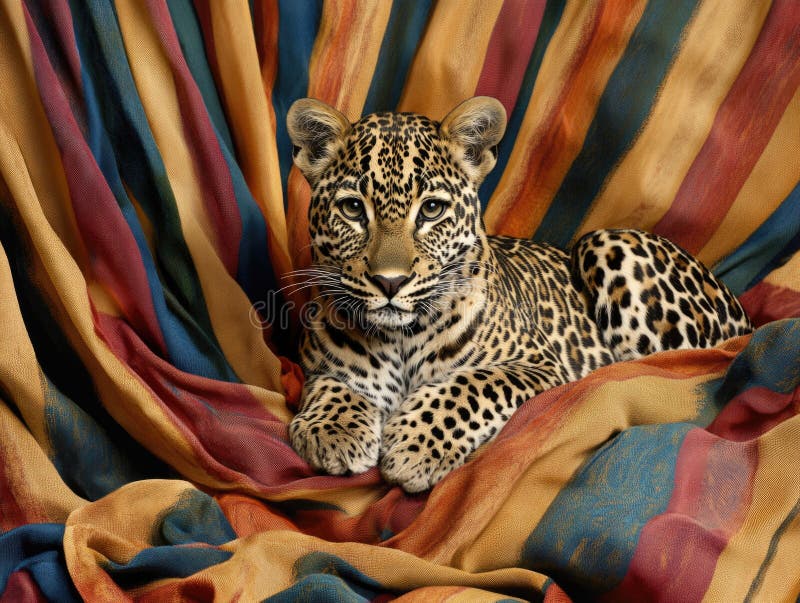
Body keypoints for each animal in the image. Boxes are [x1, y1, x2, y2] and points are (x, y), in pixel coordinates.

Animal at [285, 96, 752, 493]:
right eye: (352, 209)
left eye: (432, 210)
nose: (390, 282)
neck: (400, 339)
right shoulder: (318, 366)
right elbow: (331, 383)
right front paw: (335, 431)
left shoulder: (541, 365)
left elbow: (473, 385)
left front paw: (416, 446)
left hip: (607, 243)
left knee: (672, 370)